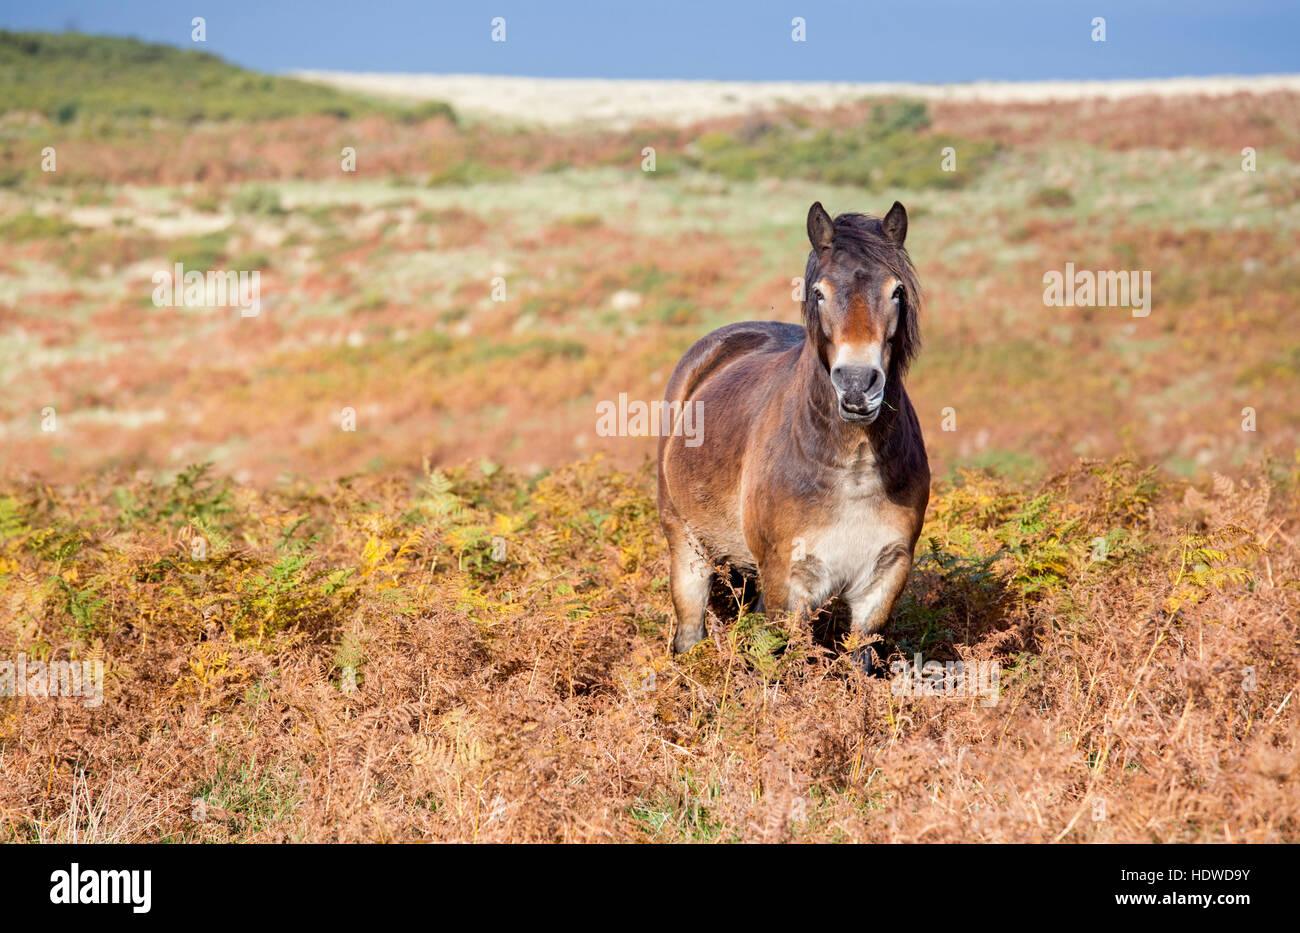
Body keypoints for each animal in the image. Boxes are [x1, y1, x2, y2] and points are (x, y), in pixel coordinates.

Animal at [657, 201, 930, 668]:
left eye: (896, 291)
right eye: (819, 292)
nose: (857, 385)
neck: (853, 472)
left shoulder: (883, 582)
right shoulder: (788, 585)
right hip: (688, 547)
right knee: (690, 632)